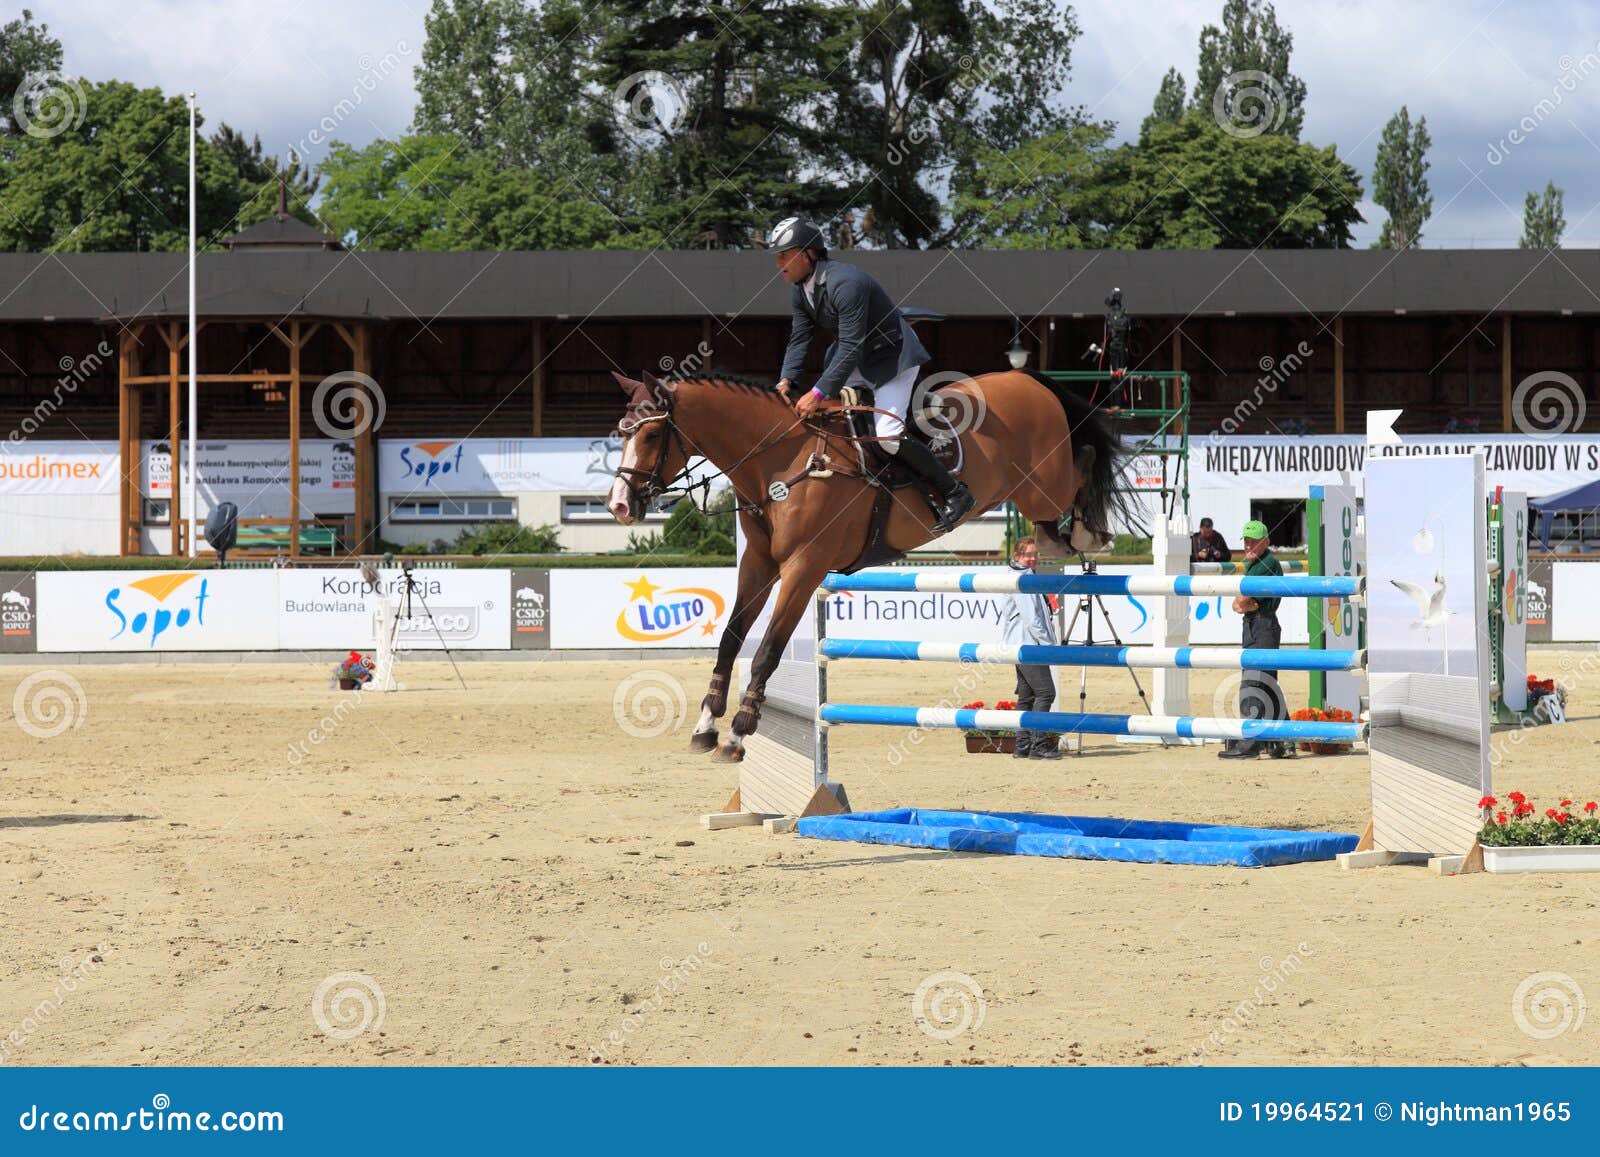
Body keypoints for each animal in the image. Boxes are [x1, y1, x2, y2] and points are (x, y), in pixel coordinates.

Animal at [606, 369, 1124, 762]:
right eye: (622, 431)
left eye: (651, 433)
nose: (619, 507)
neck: (780, 460)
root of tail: (1026, 378)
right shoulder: (759, 563)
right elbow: (732, 640)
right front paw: (705, 726)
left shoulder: (804, 566)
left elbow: (769, 649)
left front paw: (737, 734)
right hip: (1029, 494)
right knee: (1055, 515)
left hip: (1041, 485)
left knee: (1082, 465)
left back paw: (1090, 534)